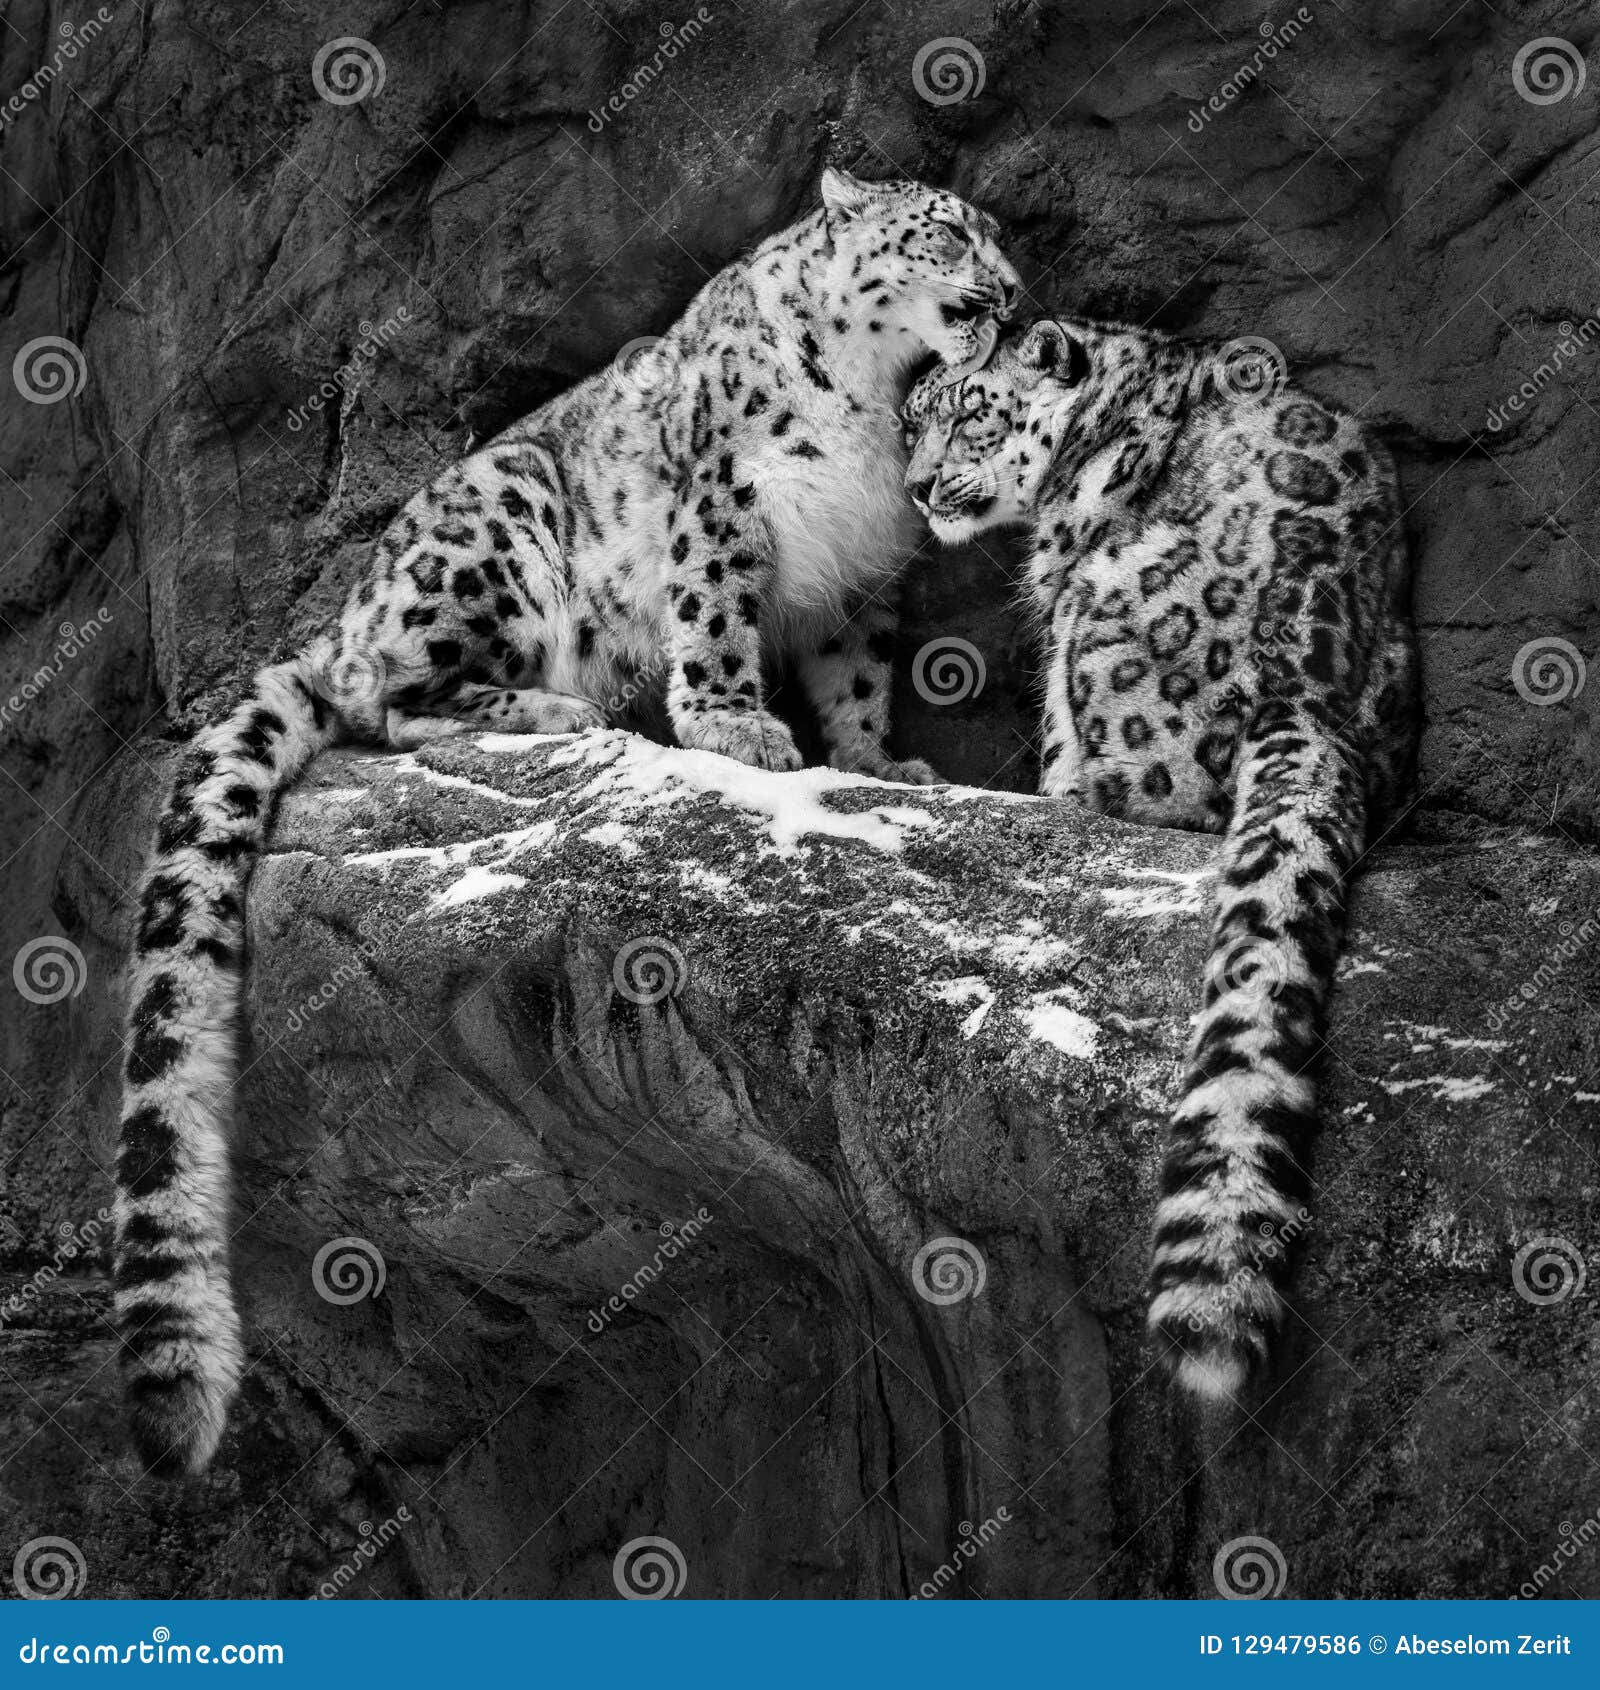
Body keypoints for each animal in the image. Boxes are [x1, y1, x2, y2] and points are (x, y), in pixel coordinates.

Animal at [115, 168, 1021, 1475]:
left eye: (993, 237)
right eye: (947, 231)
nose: (1008, 287)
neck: (870, 402)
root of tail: (348, 606)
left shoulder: (865, 575)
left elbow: (856, 673)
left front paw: (876, 757)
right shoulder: (720, 502)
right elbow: (714, 611)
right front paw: (737, 727)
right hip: (498, 529)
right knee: (396, 698)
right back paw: (553, 702)